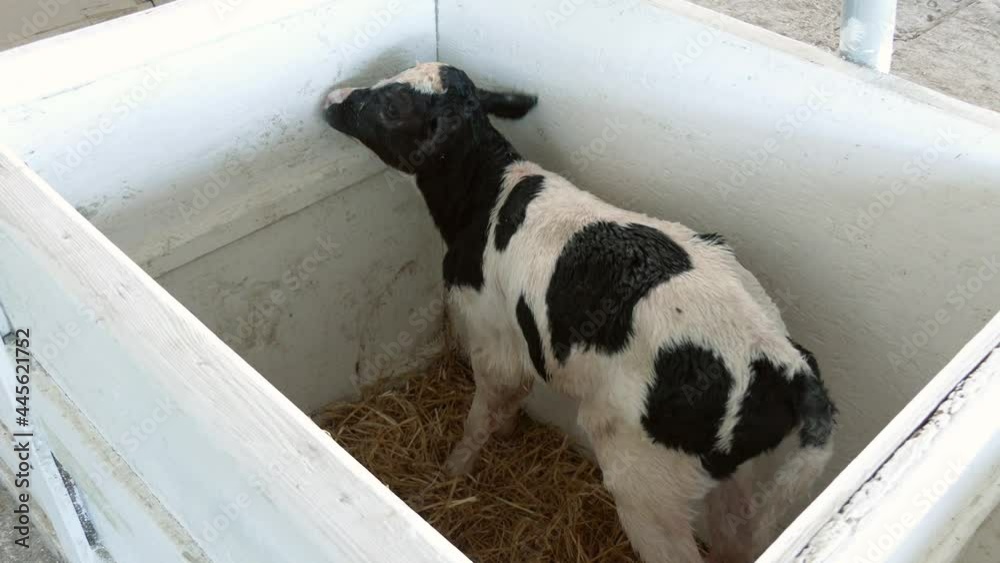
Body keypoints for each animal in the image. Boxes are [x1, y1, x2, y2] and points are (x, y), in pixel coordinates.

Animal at [323, 62, 836, 563]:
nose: (331, 100)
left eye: (392, 106)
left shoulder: (492, 337)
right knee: (736, 535)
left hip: (648, 481)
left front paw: (455, 469)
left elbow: (484, 411)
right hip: (734, 475)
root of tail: (786, 362)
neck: (487, 198)